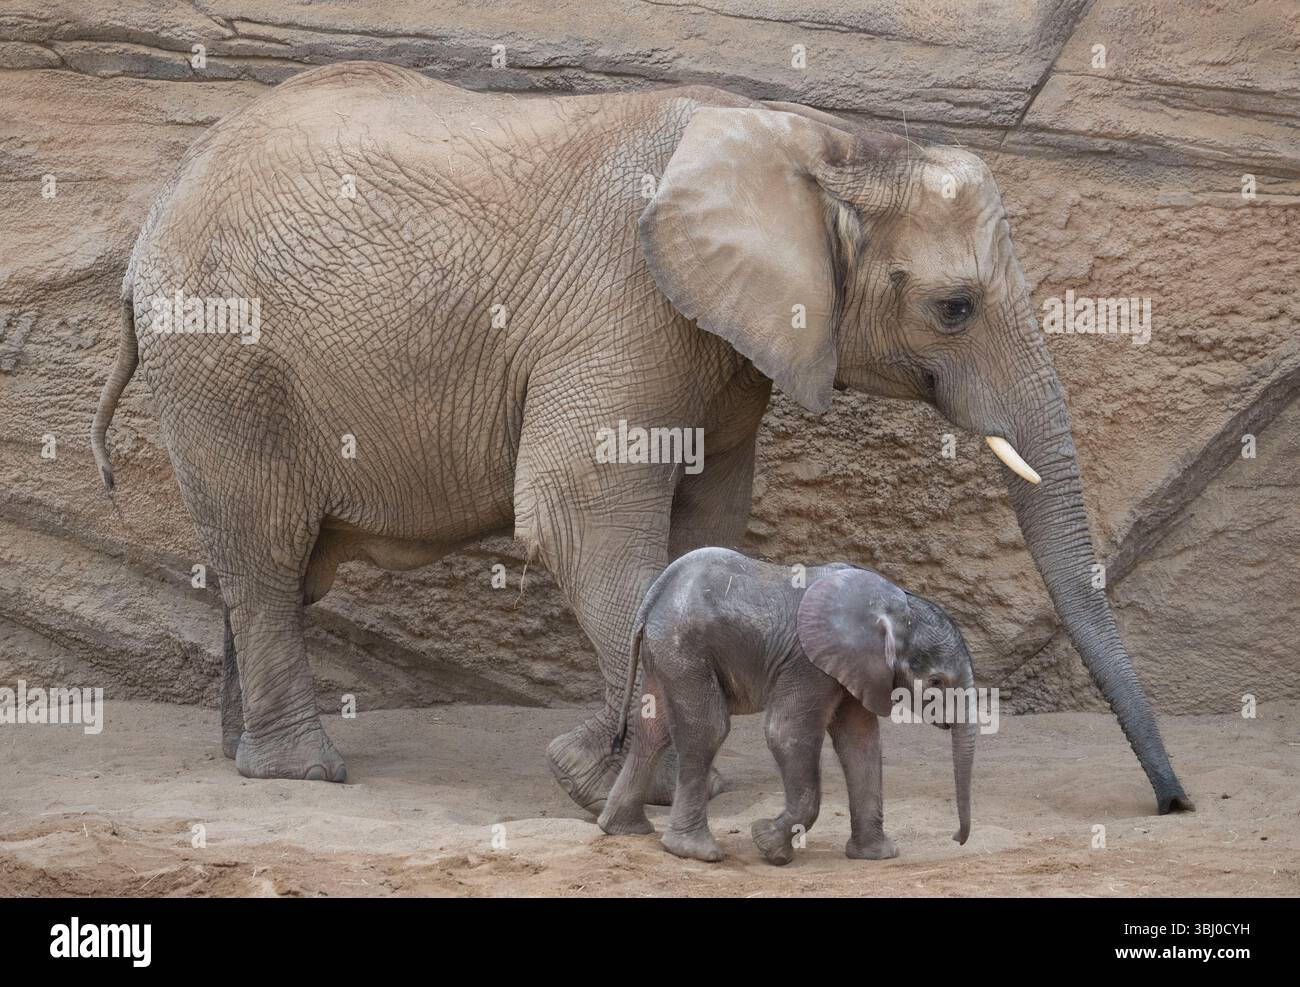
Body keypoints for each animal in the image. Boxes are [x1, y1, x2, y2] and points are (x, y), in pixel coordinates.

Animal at [91, 60, 1192, 814]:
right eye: (955, 309)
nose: (1172, 801)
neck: (817, 140)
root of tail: (152, 222)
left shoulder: (725, 345)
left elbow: (702, 529)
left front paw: (641, 777)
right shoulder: (622, 305)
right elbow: (578, 519)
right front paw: (602, 784)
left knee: (271, 568)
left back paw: (242, 753)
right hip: (226, 360)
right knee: (268, 553)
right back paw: (303, 771)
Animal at [597, 548, 976, 864]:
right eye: (936, 682)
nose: (956, 839)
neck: (896, 603)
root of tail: (654, 595)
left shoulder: (855, 667)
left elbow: (861, 743)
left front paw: (876, 856)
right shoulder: (809, 663)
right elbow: (788, 733)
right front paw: (769, 847)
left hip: (668, 652)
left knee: (653, 729)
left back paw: (623, 829)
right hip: (685, 648)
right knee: (707, 729)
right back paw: (695, 852)